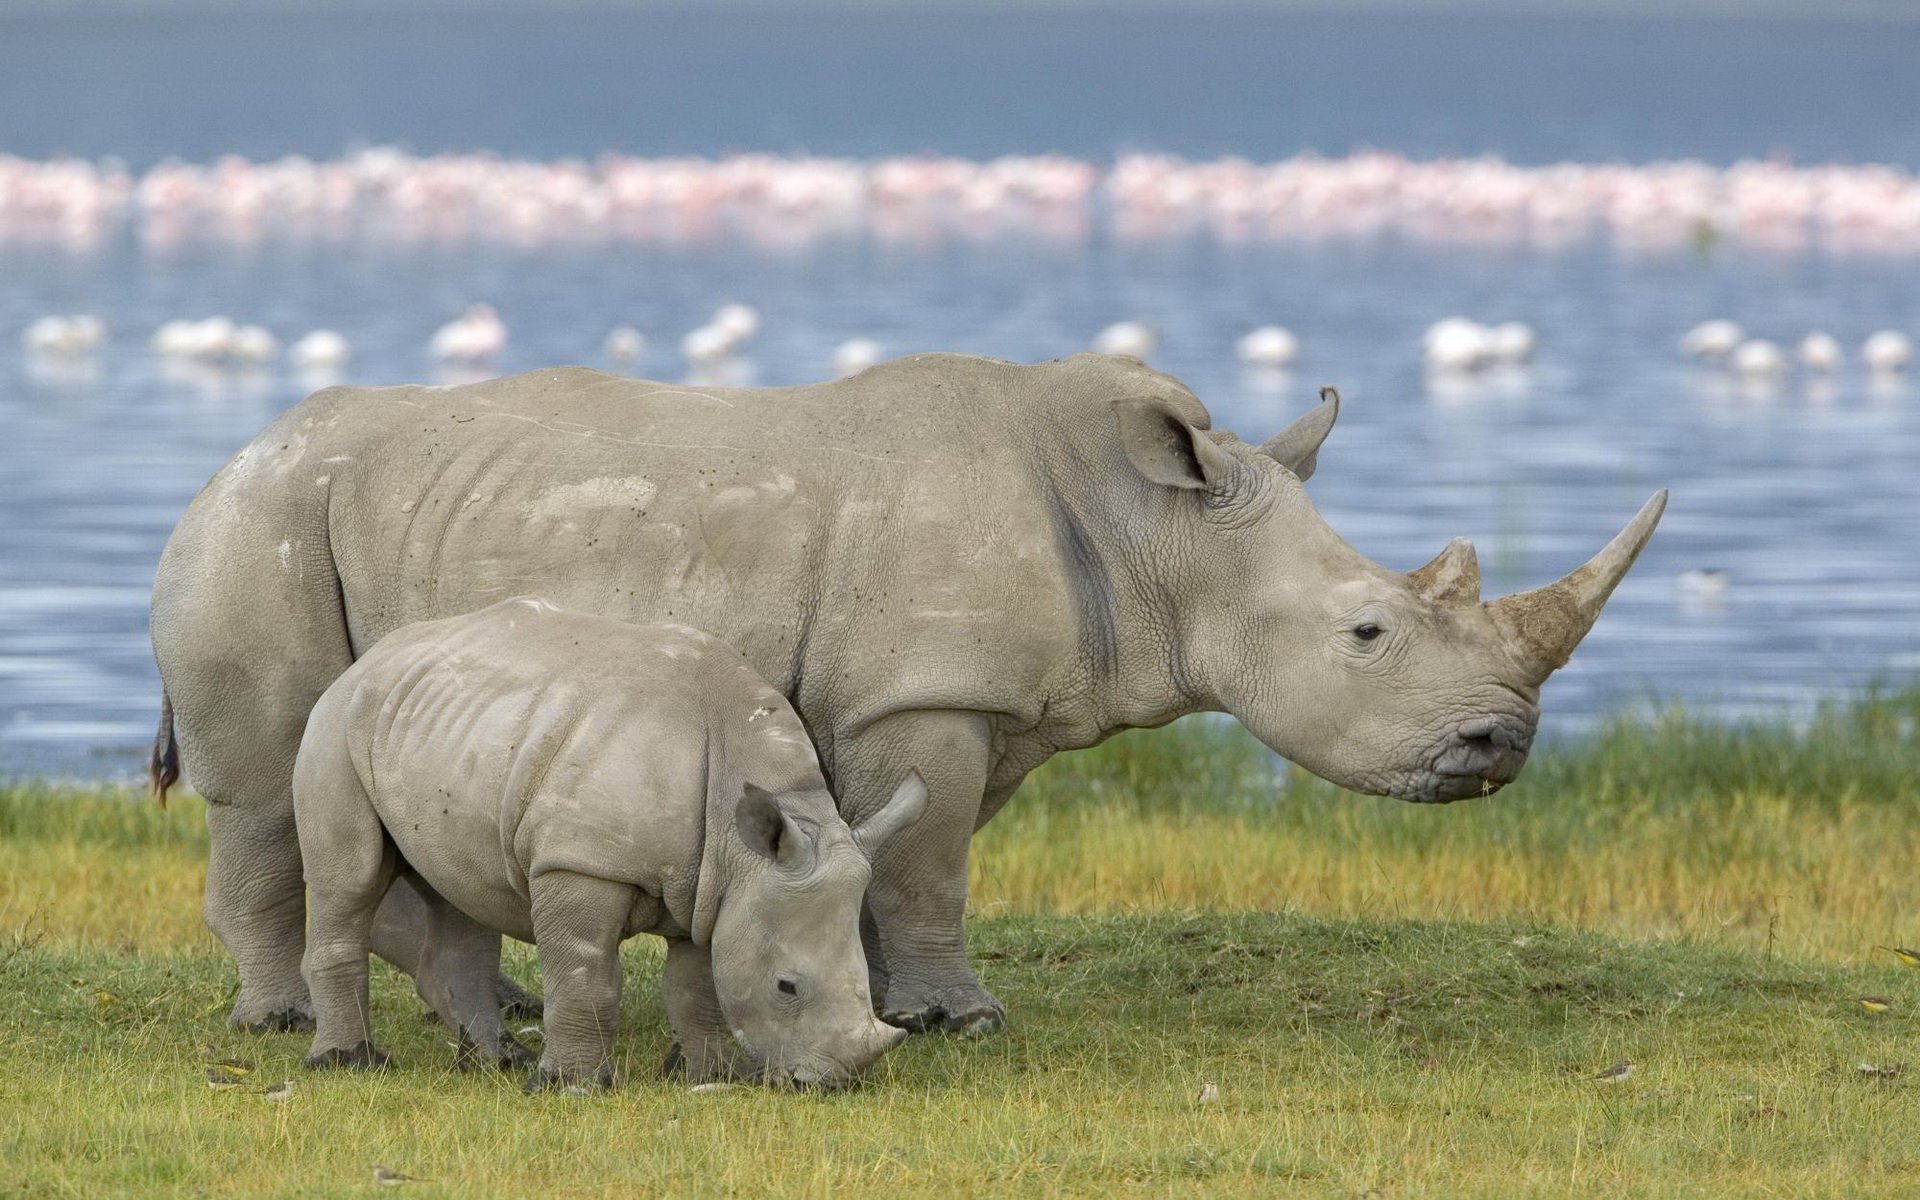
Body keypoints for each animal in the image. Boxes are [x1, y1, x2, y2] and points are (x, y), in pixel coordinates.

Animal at [150, 352, 1664, 1039]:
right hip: (259, 533)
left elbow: (902, 856)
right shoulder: (919, 694)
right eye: (1368, 632)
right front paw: (962, 1022)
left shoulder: (953, 702)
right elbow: (931, 863)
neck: (1156, 531)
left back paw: (504, 1012)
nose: (1502, 744)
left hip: (331, 523)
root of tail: (224, 459)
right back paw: (281, 1025)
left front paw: (873, 1000)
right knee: (269, 789)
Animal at [295, 598, 923, 1088]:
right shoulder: (582, 864)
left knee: (461, 891)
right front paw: (569, 1086)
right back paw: (348, 1063)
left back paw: (497, 1062)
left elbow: (696, 985)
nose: (832, 1083)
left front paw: (709, 1075)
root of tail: (372, 658)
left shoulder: (712, 886)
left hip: (442, 727)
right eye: (786, 987)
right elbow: (587, 975)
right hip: (335, 724)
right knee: (348, 881)